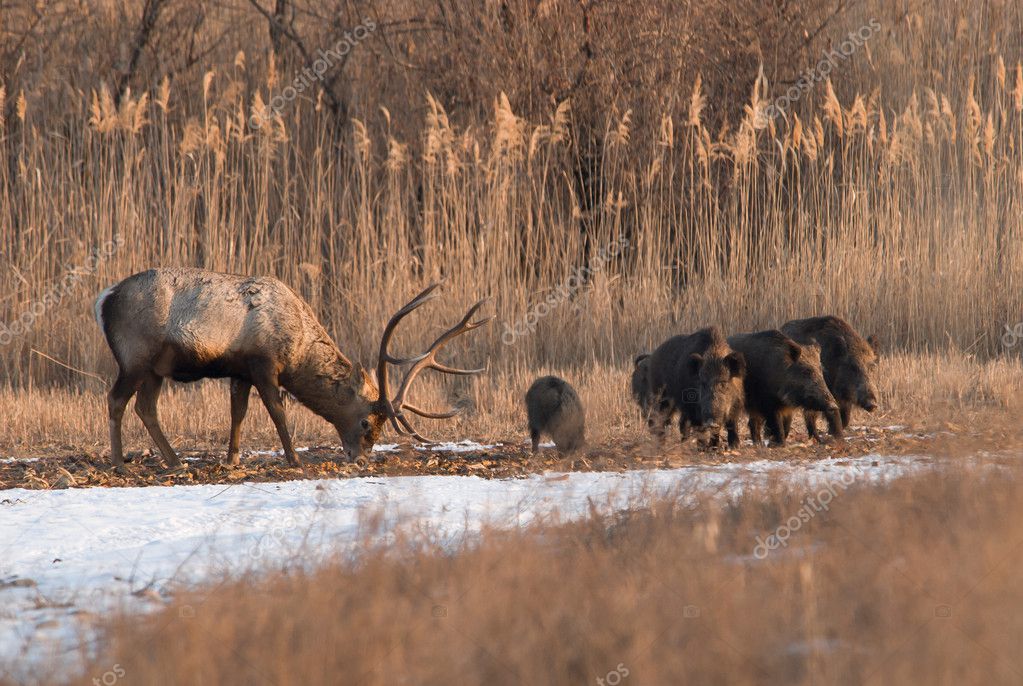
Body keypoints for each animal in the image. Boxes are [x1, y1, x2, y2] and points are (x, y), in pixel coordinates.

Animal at [94, 268, 490, 469]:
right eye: (366, 423)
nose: (359, 458)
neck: (297, 346)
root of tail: (103, 300)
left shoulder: (240, 370)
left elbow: (238, 413)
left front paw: (232, 459)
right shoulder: (263, 363)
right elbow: (277, 411)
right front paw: (294, 458)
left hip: (156, 368)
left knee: (146, 407)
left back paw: (175, 462)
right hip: (135, 356)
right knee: (115, 400)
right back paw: (119, 463)